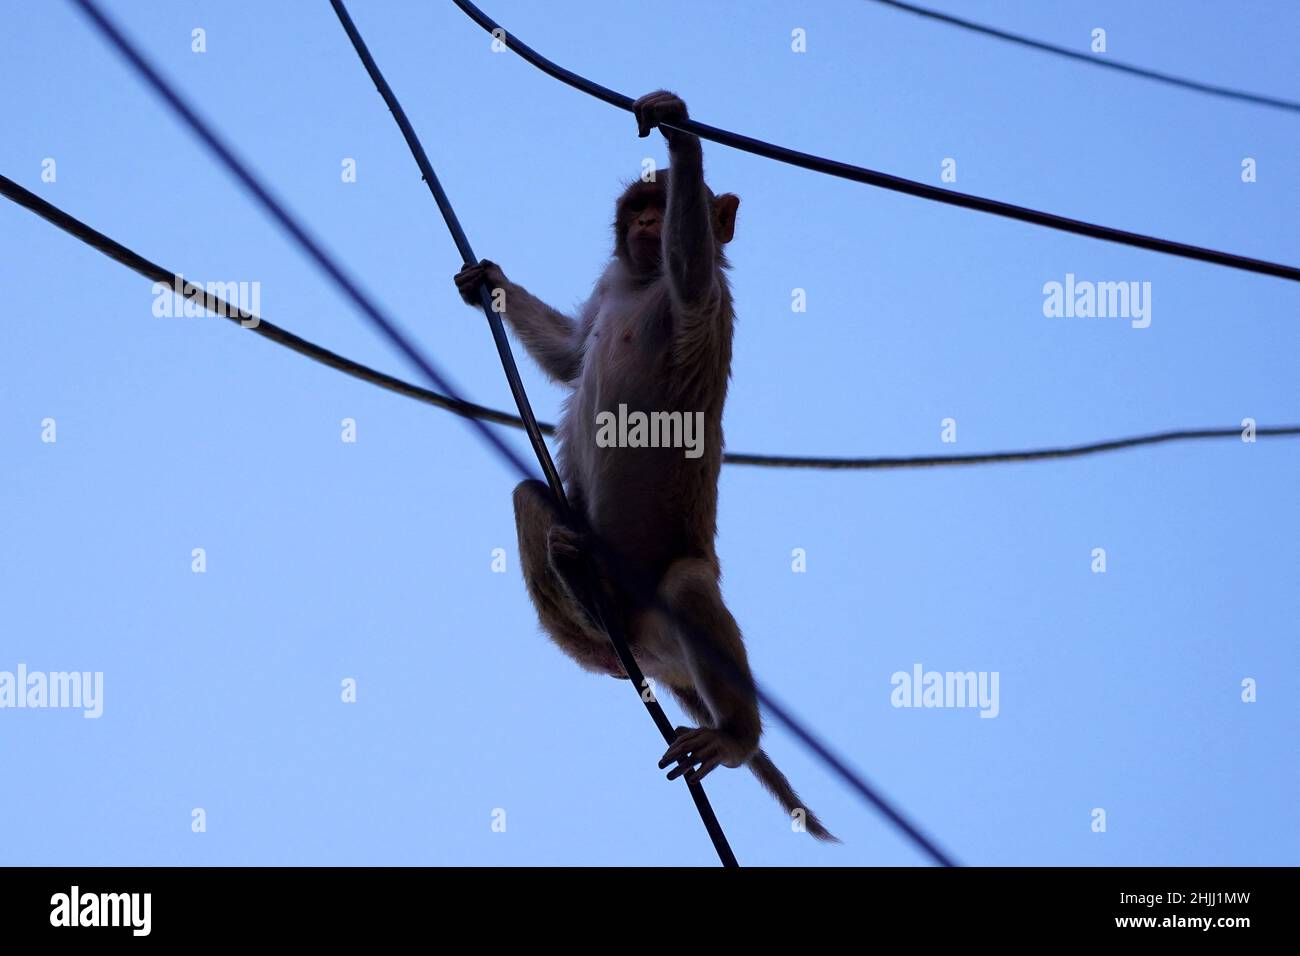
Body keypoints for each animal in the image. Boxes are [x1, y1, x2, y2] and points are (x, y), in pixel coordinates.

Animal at [455, 91, 834, 841]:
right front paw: (492, 283)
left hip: (669, 615)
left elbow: (689, 265)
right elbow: (573, 352)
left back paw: (737, 735)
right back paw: (587, 596)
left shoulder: (701, 295)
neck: (638, 281)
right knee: (530, 497)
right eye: (636, 208)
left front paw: (680, 133)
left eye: (660, 205)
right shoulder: (611, 288)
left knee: (687, 584)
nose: (648, 222)